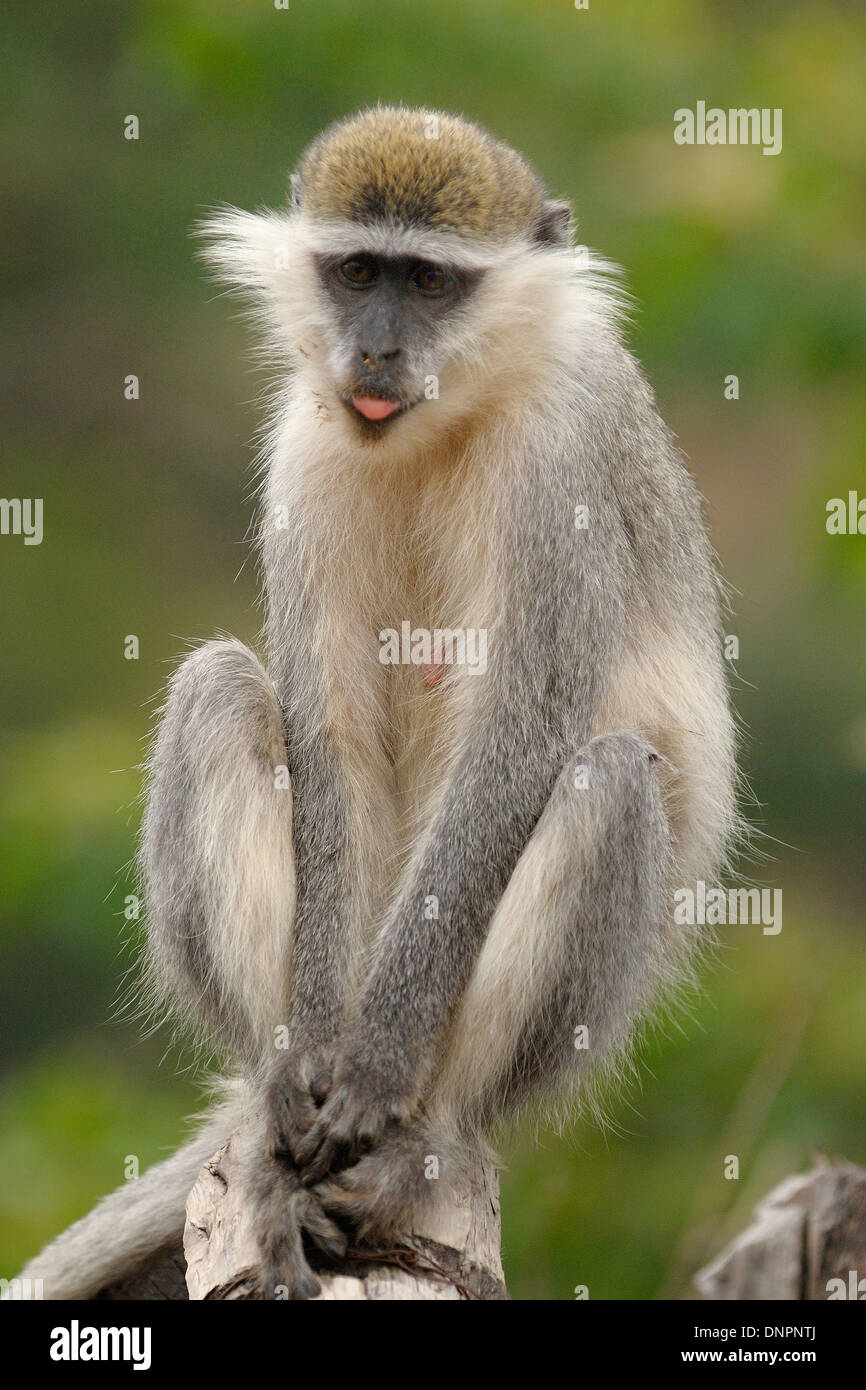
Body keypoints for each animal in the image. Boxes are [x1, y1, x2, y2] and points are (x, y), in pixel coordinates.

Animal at [12, 106, 736, 1300]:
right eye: (357, 272)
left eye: (430, 283)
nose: (377, 352)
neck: (447, 421)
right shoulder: (301, 448)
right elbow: (329, 739)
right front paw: (311, 1061)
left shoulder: (564, 466)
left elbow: (519, 737)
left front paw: (374, 1071)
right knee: (218, 689)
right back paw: (271, 1127)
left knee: (606, 779)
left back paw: (420, 1140)